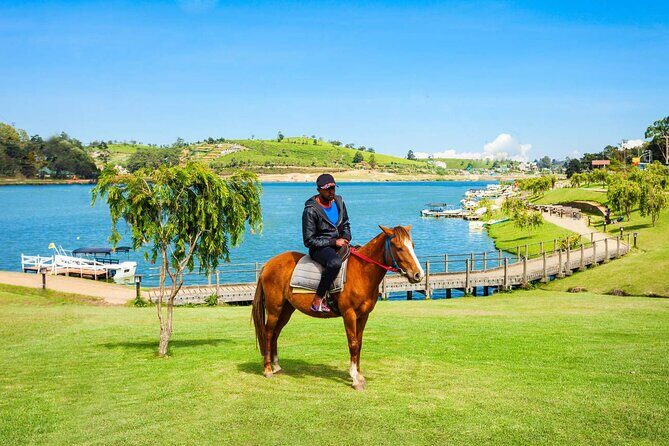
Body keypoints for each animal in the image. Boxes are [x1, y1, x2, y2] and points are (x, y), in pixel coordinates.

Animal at [251, 225, 424, 390]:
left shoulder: (363, 315)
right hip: (274, 310)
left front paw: (359, 375)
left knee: (275, 334)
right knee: (268, 334)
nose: (418, 275)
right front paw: (355, 379)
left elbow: (359, 343)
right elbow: (353, 343)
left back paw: (276, 366)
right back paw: (267, 369)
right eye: (398, 247)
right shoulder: (349, 314)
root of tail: (268, 265)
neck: (361, 271)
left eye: (412, 245)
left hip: (286, 310)